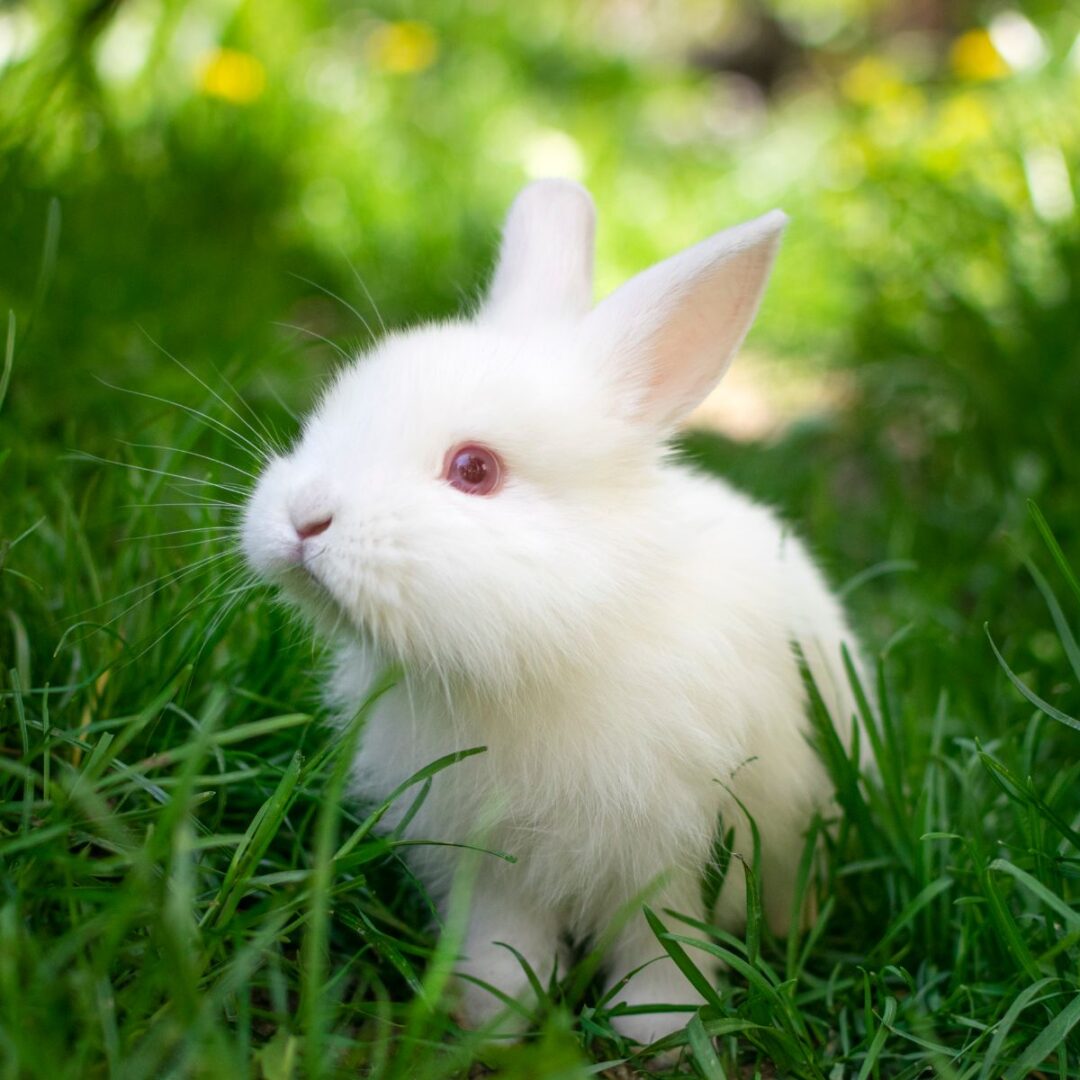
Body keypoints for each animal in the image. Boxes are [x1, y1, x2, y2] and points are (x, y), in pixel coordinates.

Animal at [242, 178, 866, 1047]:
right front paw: (490, 1017)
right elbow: (504, 942)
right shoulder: (489, 859)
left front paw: (660, 1033)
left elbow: (663, 946)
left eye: (474, 469)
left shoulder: (670, 857)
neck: (548, 649)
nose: (302, 522)